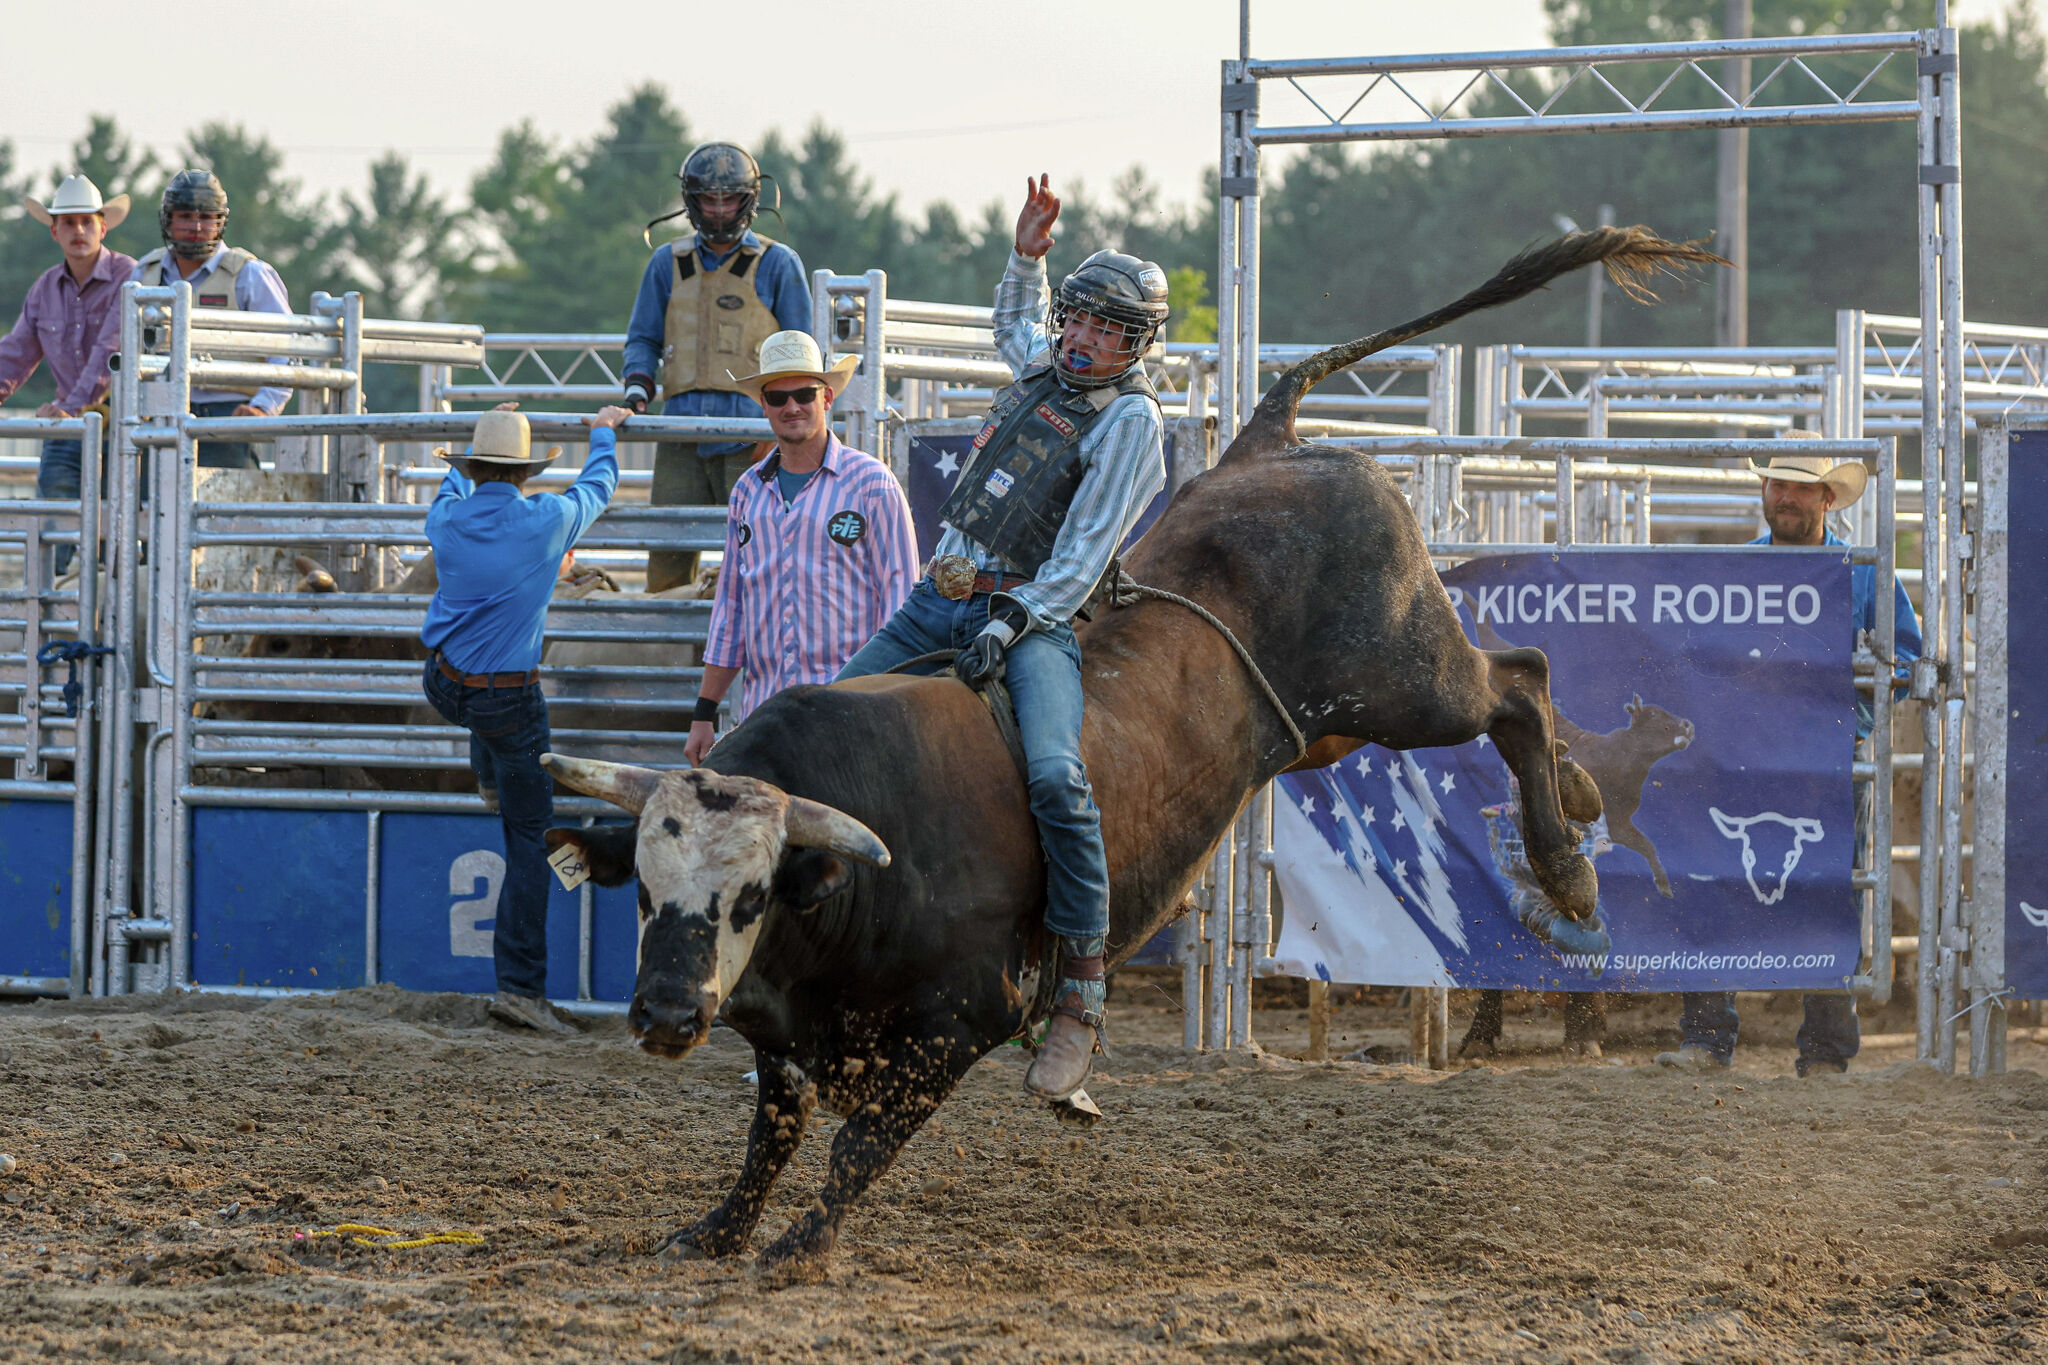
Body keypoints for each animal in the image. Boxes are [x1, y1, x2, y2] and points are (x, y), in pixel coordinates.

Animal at [542, 226, 1721, 1275]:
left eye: (748, 899)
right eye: (644, 887)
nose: (663, 1013)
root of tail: (1271, 439)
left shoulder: (961, 1017)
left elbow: (859, 1145)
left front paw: (798, 1248)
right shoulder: (789, 1034)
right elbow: (771, 1137)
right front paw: (713, 1232)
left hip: (1407, 677)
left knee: (1517, 679)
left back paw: (1568, 866)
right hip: (1323, 729)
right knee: (1517, 683)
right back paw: (1577, 817)